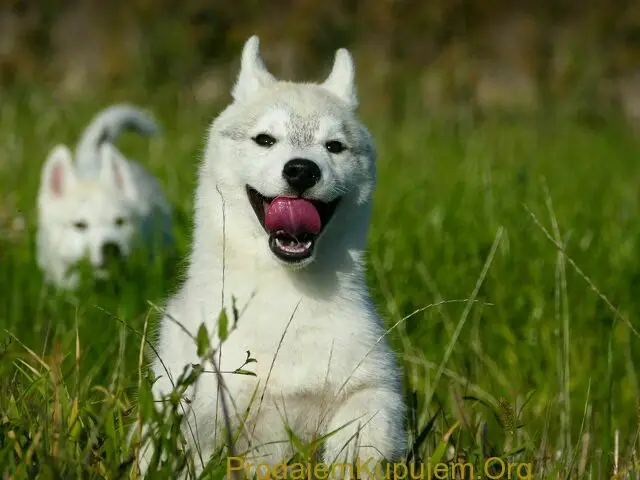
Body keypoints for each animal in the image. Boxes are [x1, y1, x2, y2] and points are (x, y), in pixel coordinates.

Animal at [141, 36, 410, 476]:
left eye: (334, 146)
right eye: (265, 139)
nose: (302, 170)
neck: (286, 296)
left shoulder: (369, 384)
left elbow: (366, 425)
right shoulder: (205, 405)